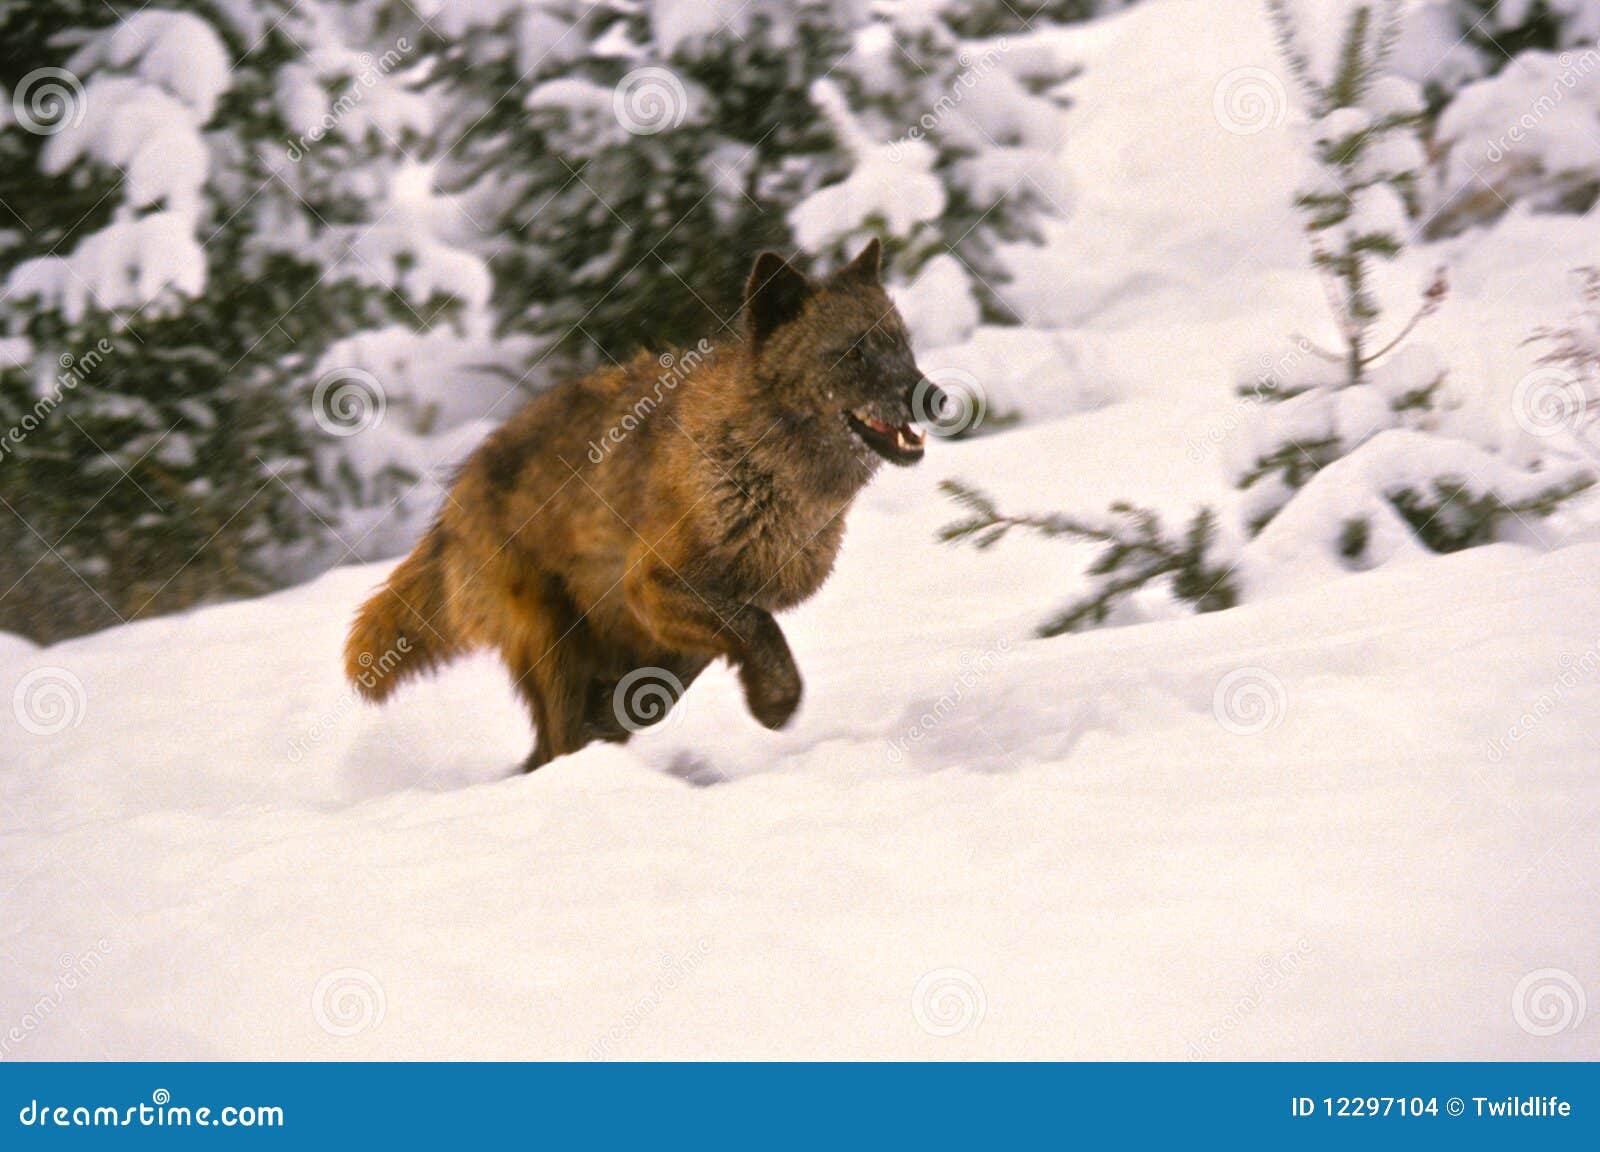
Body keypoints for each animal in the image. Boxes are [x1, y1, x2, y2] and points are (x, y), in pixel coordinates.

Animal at [344, 239, 940, 770]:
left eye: (902, 345)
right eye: (854, 352)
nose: (933, 396)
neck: (759, 467)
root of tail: (449, 508)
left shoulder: (698, 616)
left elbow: (672, 682)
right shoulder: (652, 585)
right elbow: (759, 631)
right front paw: (776, 703)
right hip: (555, 642)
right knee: (554, 747)